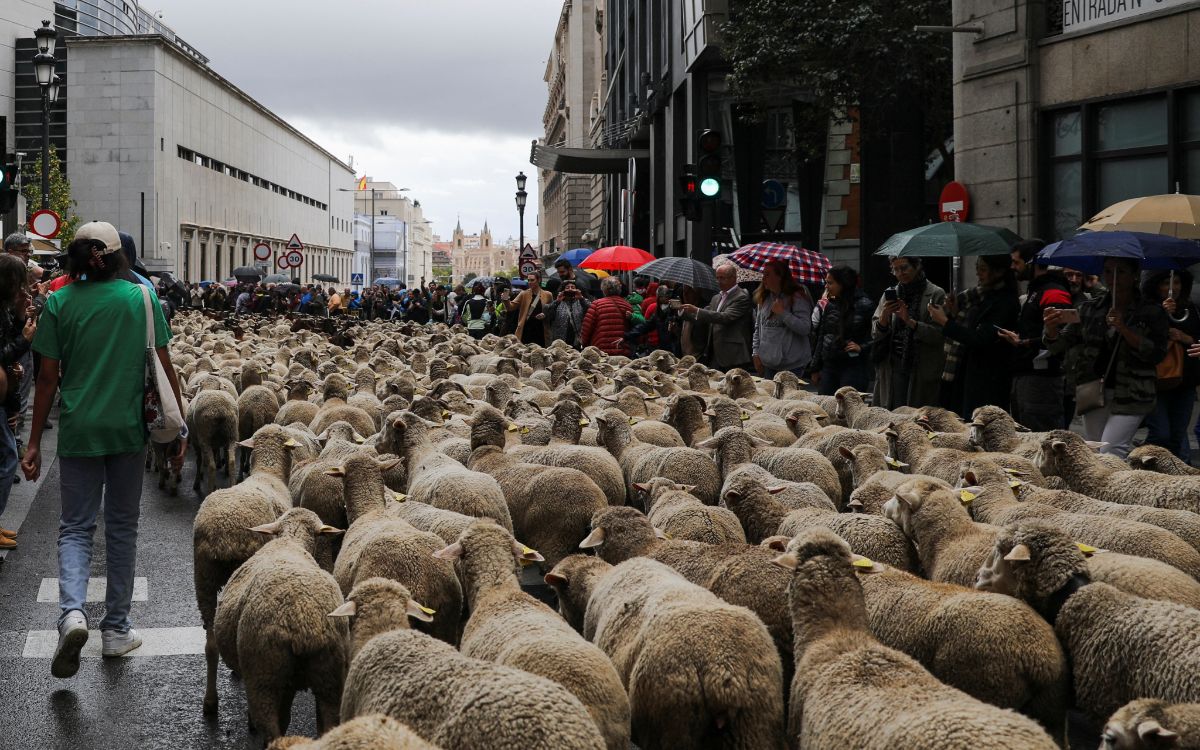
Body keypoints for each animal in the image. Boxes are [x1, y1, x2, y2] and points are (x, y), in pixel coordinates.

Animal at [210, 508, 348, 742]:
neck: (290, 541)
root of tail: (304, 622)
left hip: (264, 674)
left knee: (271, 728)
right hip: (329, 675)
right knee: (328, 722)